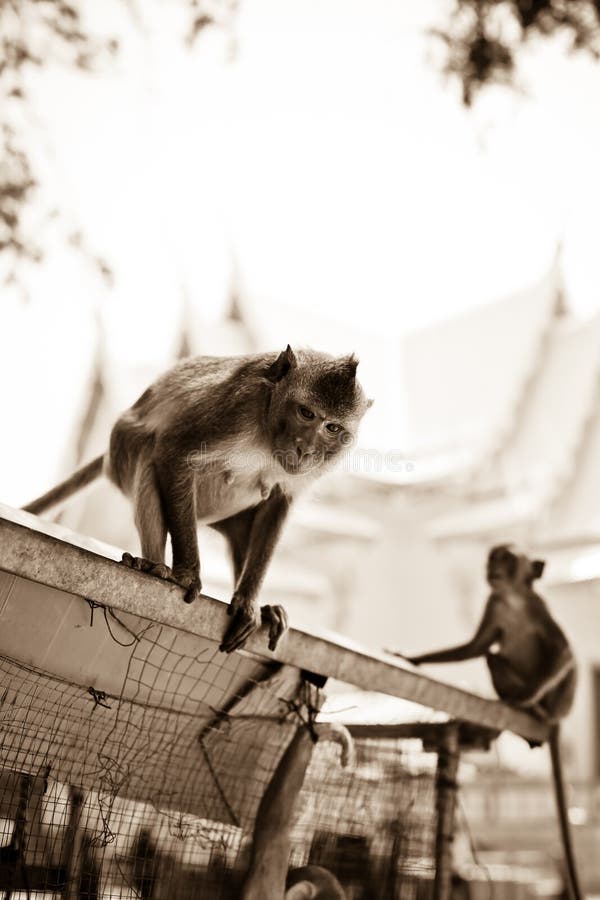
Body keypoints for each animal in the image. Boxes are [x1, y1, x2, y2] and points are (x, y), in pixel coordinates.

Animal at [24, 346, 372, 654]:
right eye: (306, 413)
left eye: (332, 427)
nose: (306, 449)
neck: (267, 425)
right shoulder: (235, 409)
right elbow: (176, 453)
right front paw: (188, 573)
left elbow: (279, 502)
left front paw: (248, 601)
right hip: (122, 454)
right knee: (147, 451)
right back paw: (153, 565)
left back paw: (261, 605)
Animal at [388, 544, 581, 900]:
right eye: (494, 556)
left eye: (507, 557)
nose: (492, 565)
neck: (512, 598)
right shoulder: (494, 605)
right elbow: (475, 648)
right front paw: (409, 657)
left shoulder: (538, 607)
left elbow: (565, 651)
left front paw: (528, 698)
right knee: (493, 657)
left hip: (561, 699)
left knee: (563, 665)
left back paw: (539, 710)